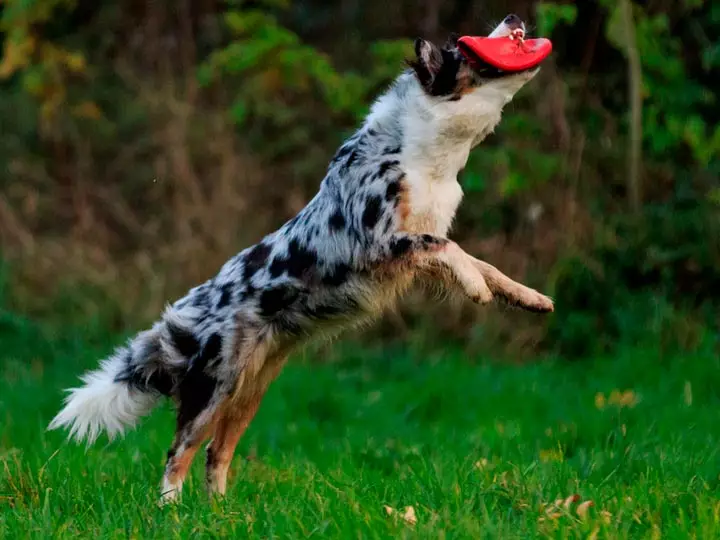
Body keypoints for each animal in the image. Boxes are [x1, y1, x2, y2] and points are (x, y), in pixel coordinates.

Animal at [50, 13, 556, 502]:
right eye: (465, 48)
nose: (515, 16)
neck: (426, 152)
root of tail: (186, 312)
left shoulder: (418, 245)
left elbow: (479, 260)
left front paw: (526, 296)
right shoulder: (380, 240)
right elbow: (450, 249)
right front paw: (475, 289)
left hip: (251, 390)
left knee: (217, 454)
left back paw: (223, 515)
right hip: (216, 385)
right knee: (180, 452)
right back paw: (172, 512)